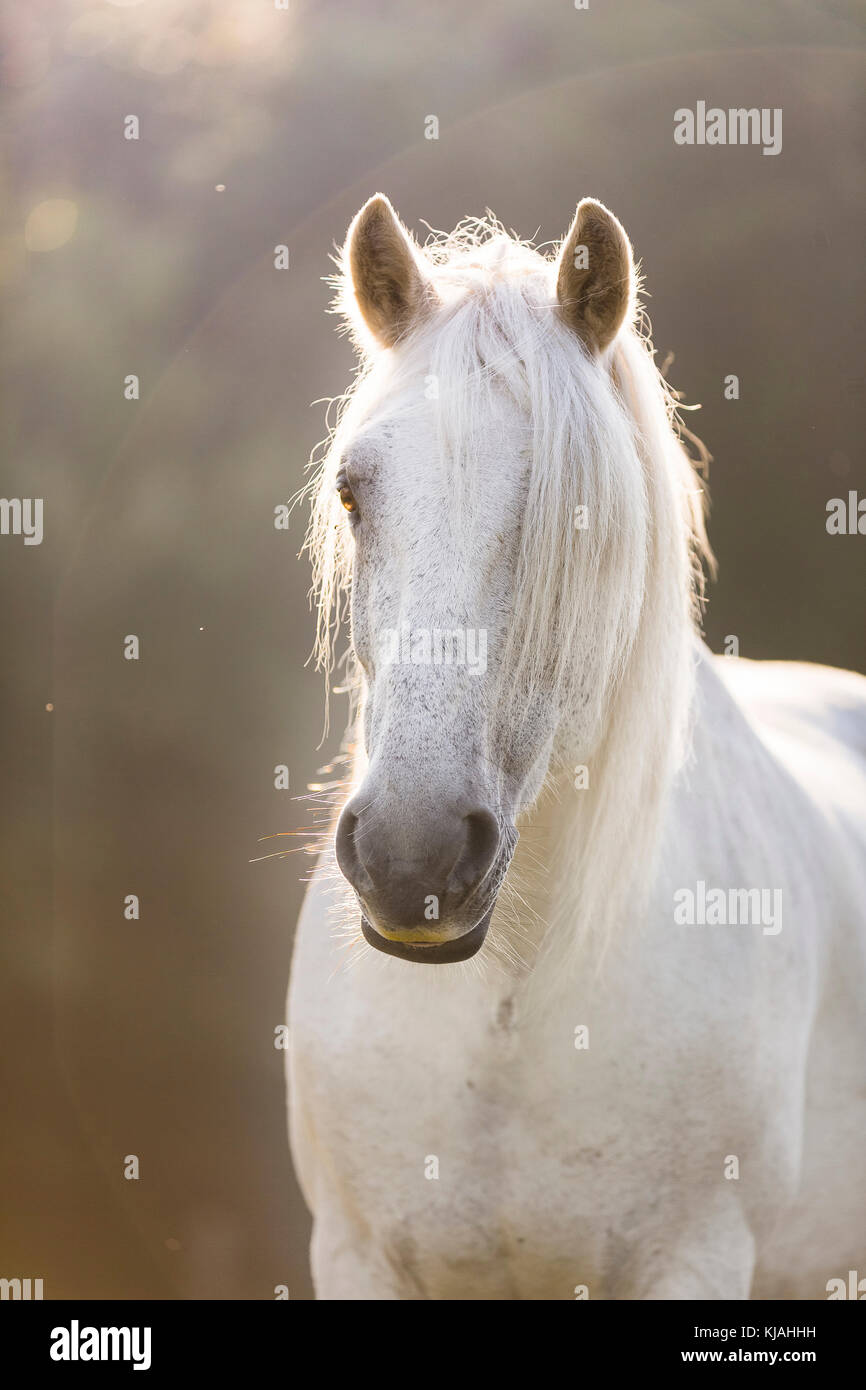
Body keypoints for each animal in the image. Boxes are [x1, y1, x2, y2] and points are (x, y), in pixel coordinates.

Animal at [286, 194, 866, 1299]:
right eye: (352, 494)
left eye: (573, 512)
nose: (411, 861)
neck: (503, 1010)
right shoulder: (356, 1254)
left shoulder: (694, 1257)